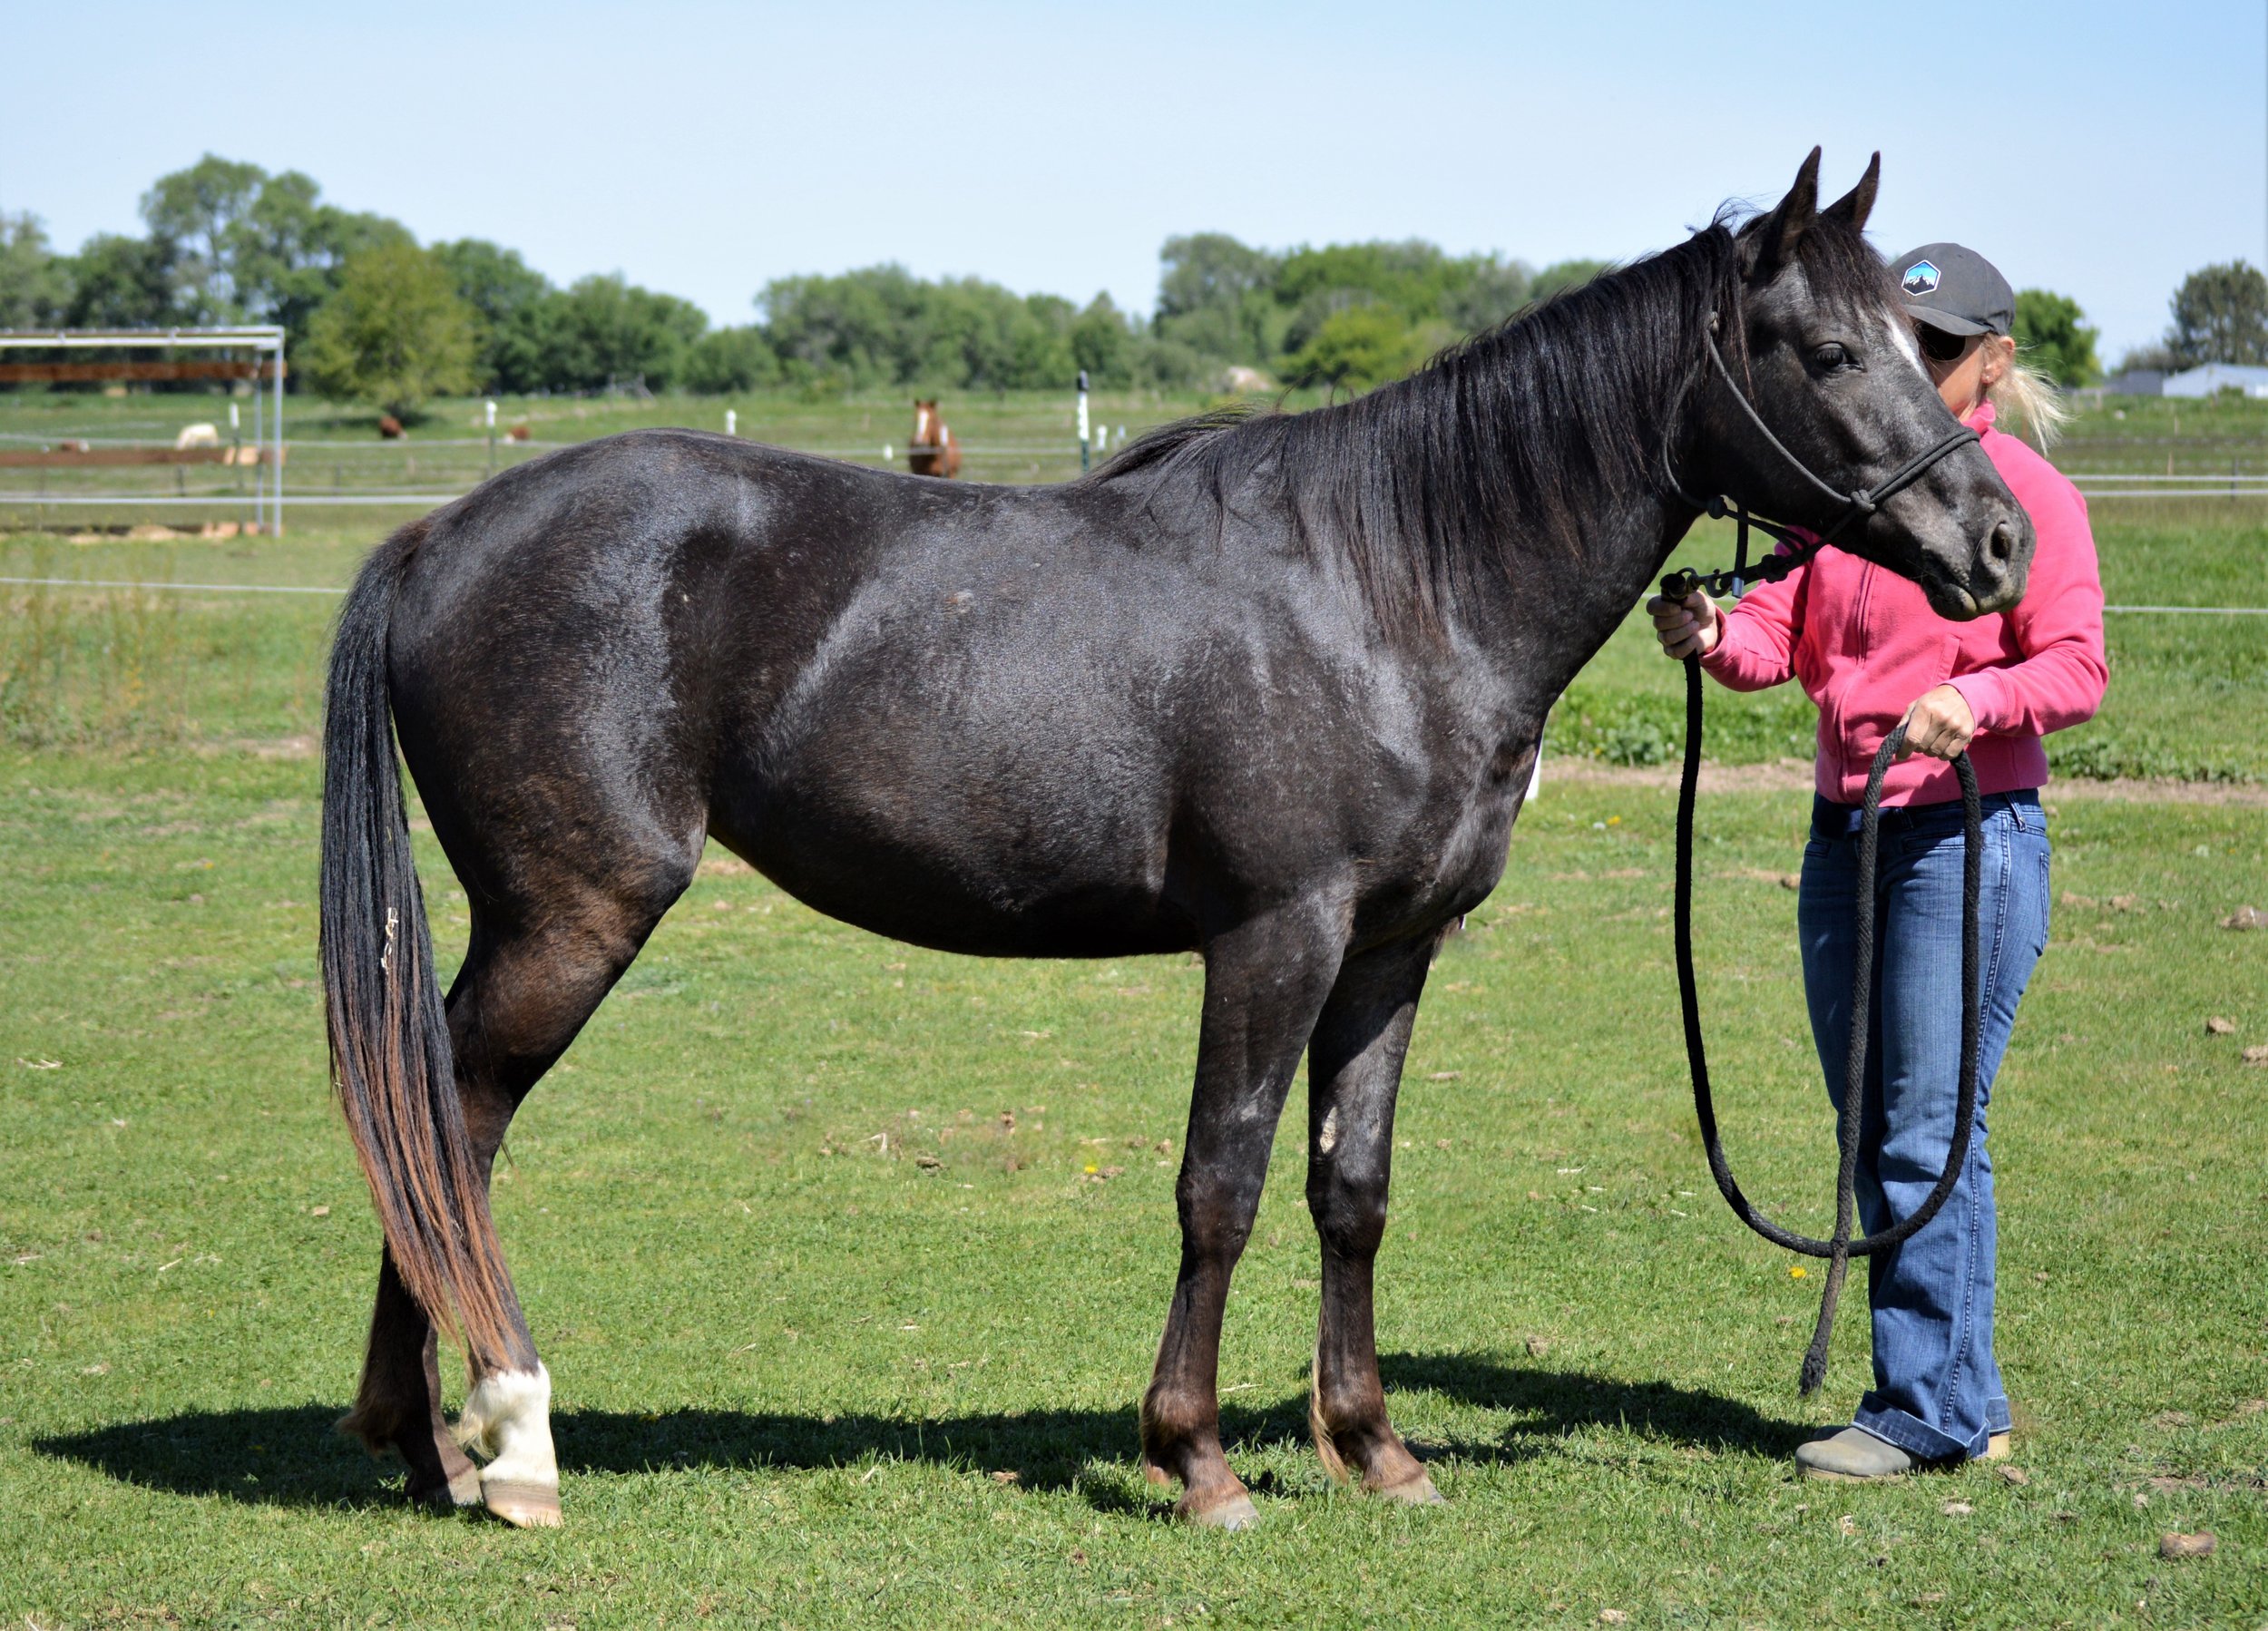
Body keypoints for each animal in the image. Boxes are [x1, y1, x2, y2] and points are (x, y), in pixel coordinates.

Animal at [321, 151, 2031, 1531]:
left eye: (1914, 347)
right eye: (1830, 348)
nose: (2001, 544)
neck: (1394, 585)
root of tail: (437, 537)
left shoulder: (1392, 950)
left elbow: (1353, 1189)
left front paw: (1375, 1448)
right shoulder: (1274, 937)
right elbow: (1223, 1182)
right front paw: (1198, 1459)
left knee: (429, 1123)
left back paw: (424, 1444)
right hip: (575, 917)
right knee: (448, 1122)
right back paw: (508, 1444)